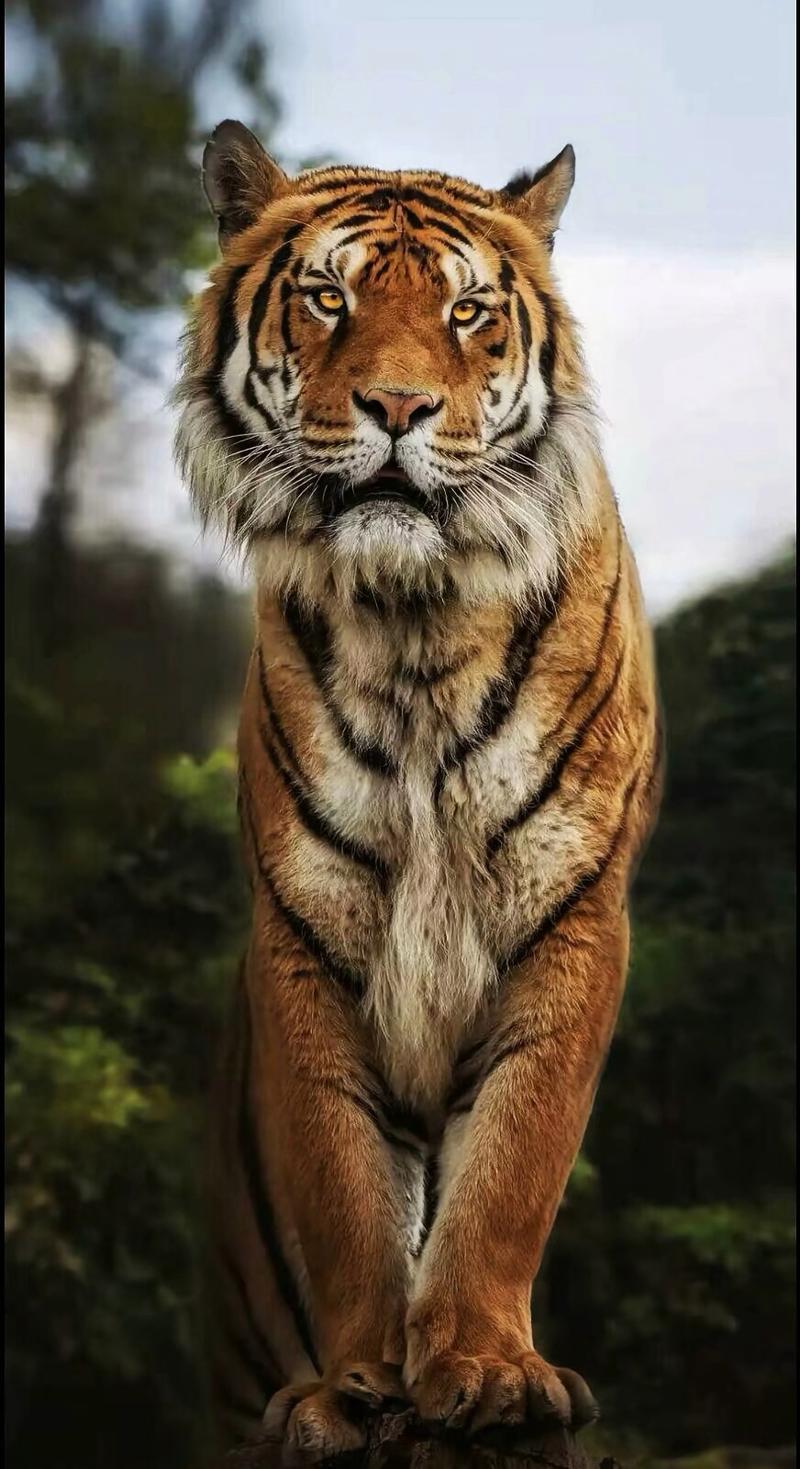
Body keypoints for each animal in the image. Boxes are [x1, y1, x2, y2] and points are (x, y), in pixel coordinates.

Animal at [173, 118, 662, 1461]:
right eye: (327, 296)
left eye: (466, 311)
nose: (397, 407)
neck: (416, 627)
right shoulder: (306, 926)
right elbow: (342, 1179)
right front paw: (353, 1383)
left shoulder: (570, 917)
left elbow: (508, 1166)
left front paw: (487, 1370)